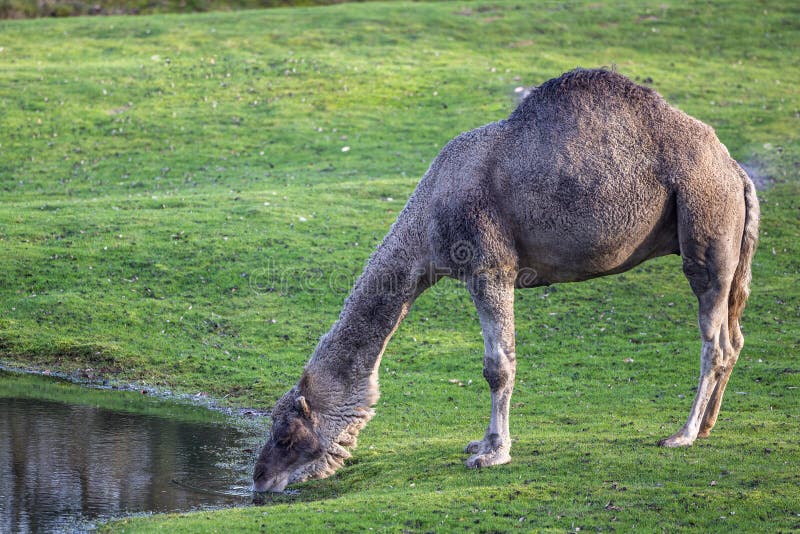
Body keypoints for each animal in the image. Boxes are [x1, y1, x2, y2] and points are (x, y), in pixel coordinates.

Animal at [253, 68, 759, 492]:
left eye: (286, 435)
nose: (259, 480)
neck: (428, 218)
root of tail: (735, 170)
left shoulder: (489, 265)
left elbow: (497, 365)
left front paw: (494, 454)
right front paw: (480, 443)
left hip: (705, 220)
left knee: (714, 338)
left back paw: (682, 434)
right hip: (726, 241)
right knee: (734, 335)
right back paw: (708, 425)